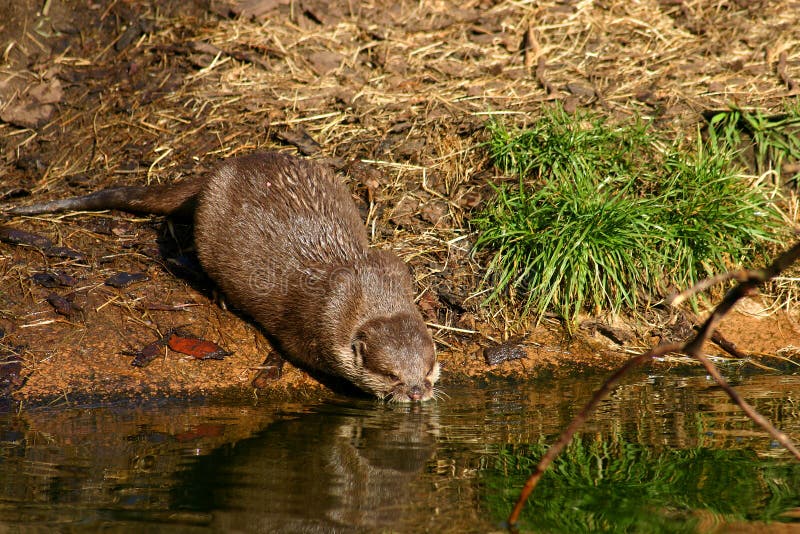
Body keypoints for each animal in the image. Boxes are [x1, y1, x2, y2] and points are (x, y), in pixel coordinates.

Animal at [6, 152, 439, 402]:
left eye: (428, 369)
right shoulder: (311, 326)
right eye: (390, 374)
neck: (365, 295)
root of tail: (221, 170)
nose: (417, 393)